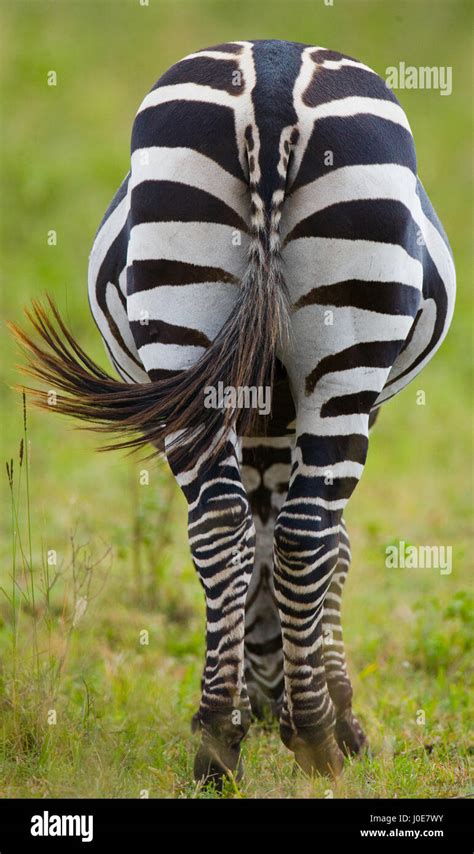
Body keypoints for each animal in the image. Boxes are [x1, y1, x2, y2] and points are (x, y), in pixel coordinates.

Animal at [12, 39, 455, 785]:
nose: (269, 710)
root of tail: (273, 82)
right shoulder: (343, 411)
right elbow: (333, 549)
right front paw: (341, 718)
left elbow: (260, 539)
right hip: (344, 362)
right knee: (306, 531)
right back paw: (316, 737)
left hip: (184, 331)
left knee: (222, 523)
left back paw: (218, 742)